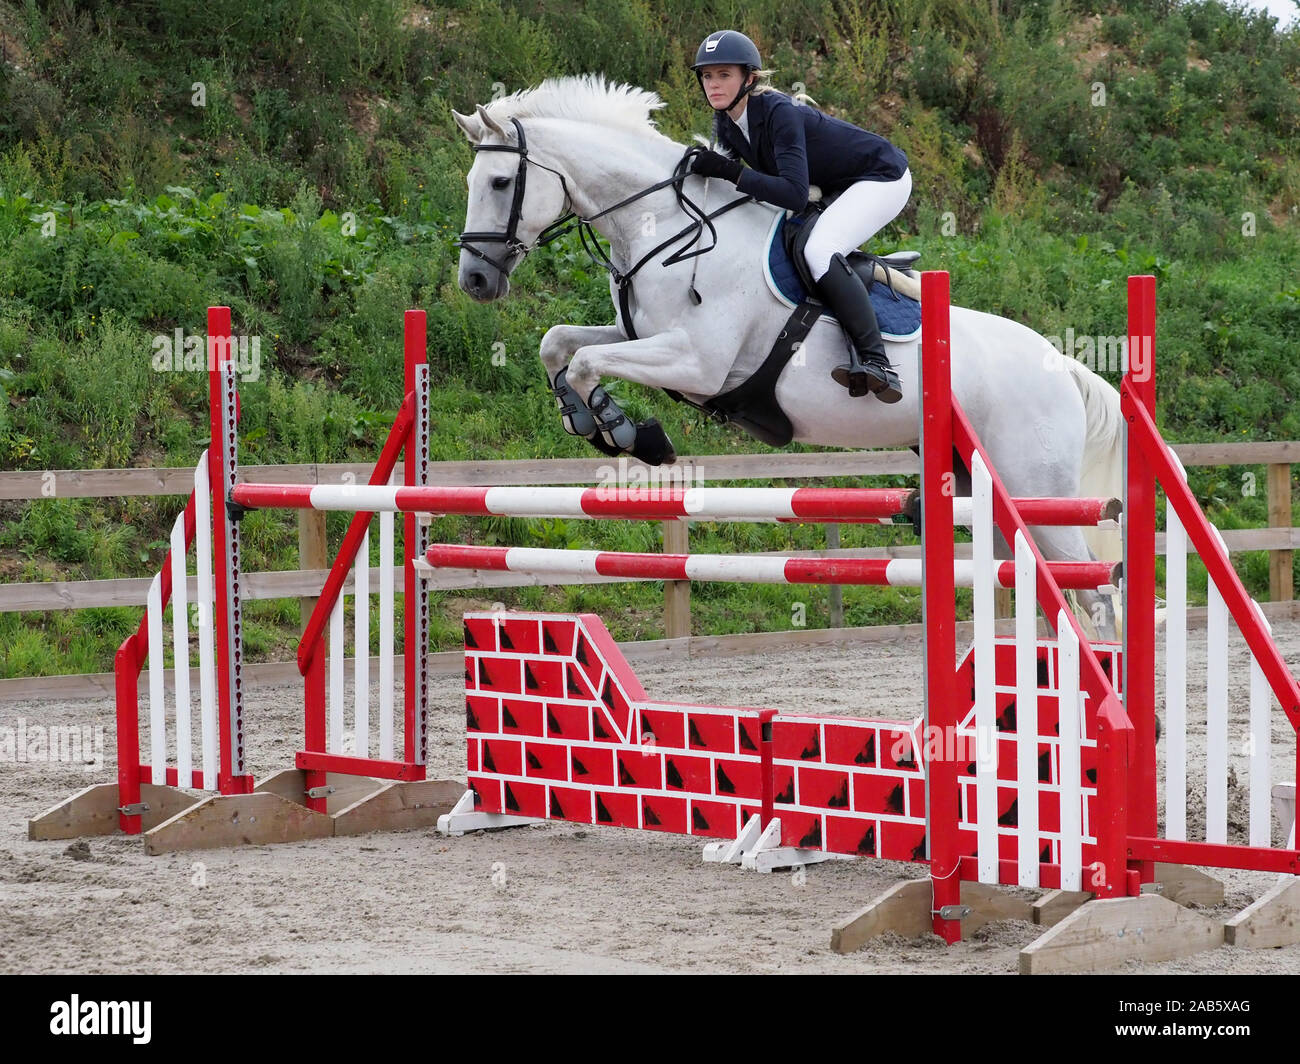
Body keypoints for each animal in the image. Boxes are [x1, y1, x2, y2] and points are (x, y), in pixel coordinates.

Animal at [451, 75, 1124, 631]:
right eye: (471, 184)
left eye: (501, 182)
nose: (475, 281)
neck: (663, 223)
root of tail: (1061, 365)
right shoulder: (639, 336)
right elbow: (558, 344)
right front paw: (587, 418)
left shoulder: (698, 362)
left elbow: (588, 361)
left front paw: (627, 432)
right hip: (987, 488)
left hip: (1038, 488)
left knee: (1094, 591)